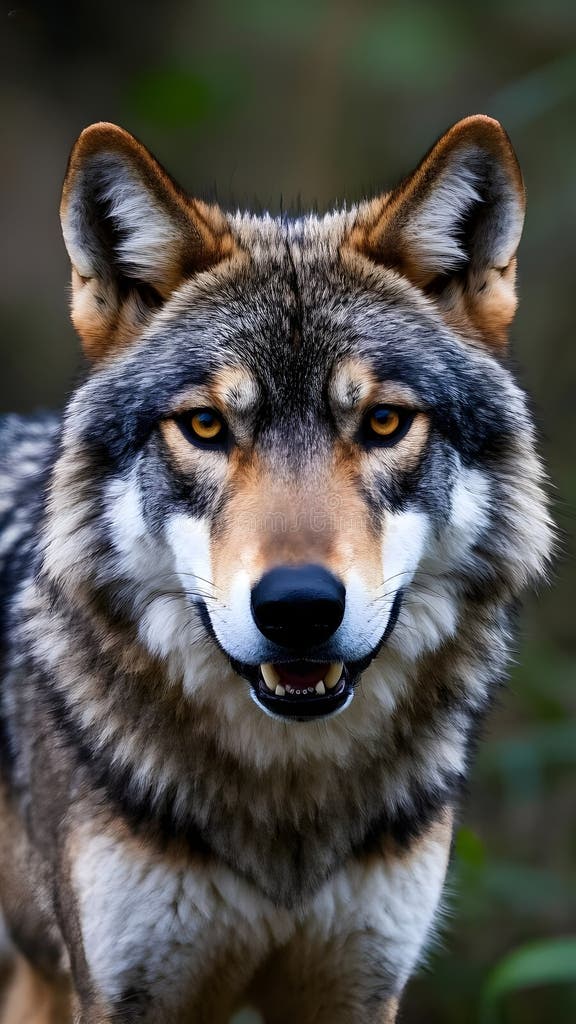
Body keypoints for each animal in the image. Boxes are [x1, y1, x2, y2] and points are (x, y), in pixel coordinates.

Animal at [0, 115, 552, 1023]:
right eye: (206, 426)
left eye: (384, 422)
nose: (299, 607)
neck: (286, 803)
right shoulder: (121, 993)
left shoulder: (360, 988)